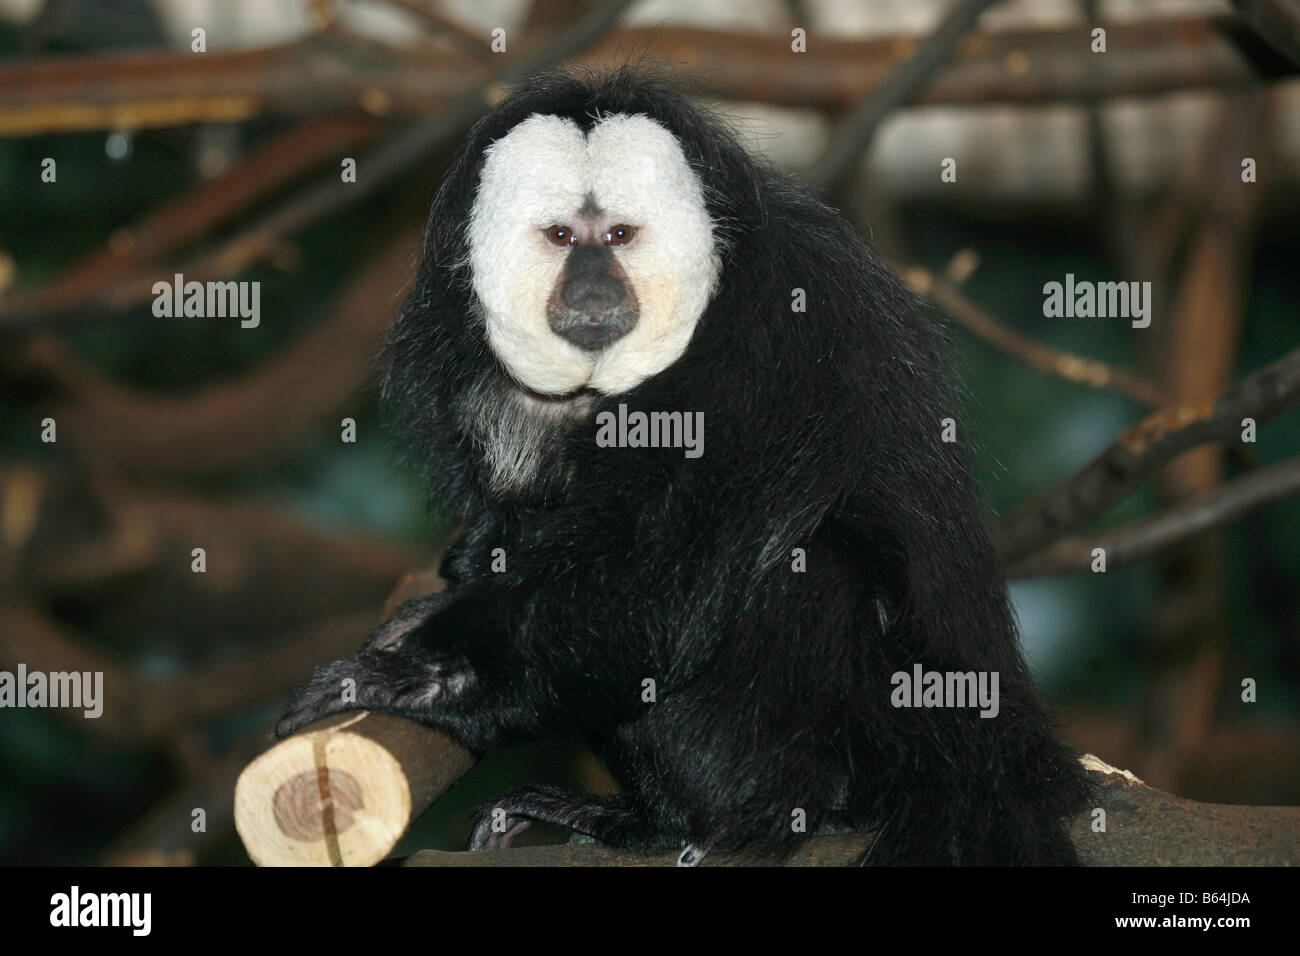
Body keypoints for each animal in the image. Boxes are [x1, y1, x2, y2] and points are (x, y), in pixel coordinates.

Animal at [274, 67, 1092, 865]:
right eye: (563, 236)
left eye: (620, 236)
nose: (593, 287)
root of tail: (997, 761)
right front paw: (453, 584)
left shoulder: (777, 347)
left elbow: (652, 592)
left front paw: (423, 682)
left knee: (798, 572)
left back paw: (748, 816)